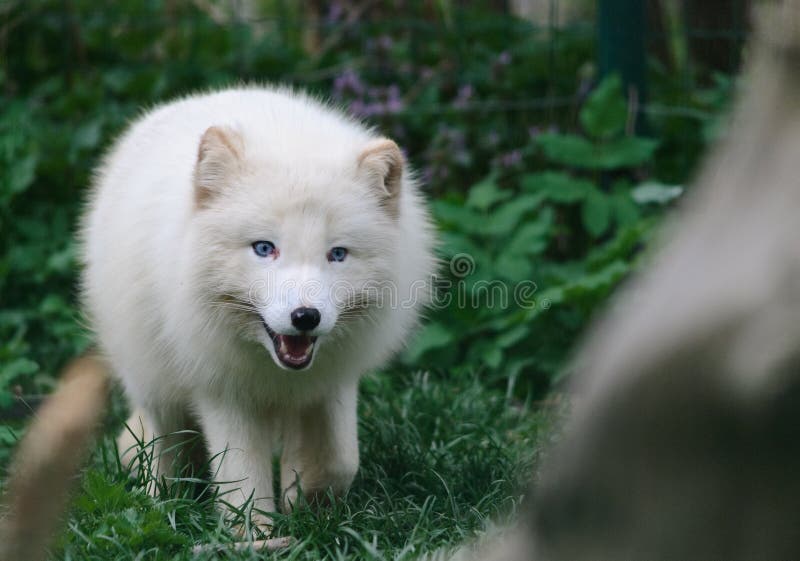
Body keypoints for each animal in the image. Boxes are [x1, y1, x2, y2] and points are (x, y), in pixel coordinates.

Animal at [79, 86, 436, 526]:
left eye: (337, 254)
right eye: (264, 249)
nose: (306, 317)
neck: (277, 376)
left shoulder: (333, 381)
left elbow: (339, 461)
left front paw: (306, 504)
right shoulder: (222, 391)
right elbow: (242, 482)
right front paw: (256, 534)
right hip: (151, 376)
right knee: (162, 446)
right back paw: (160, 502)